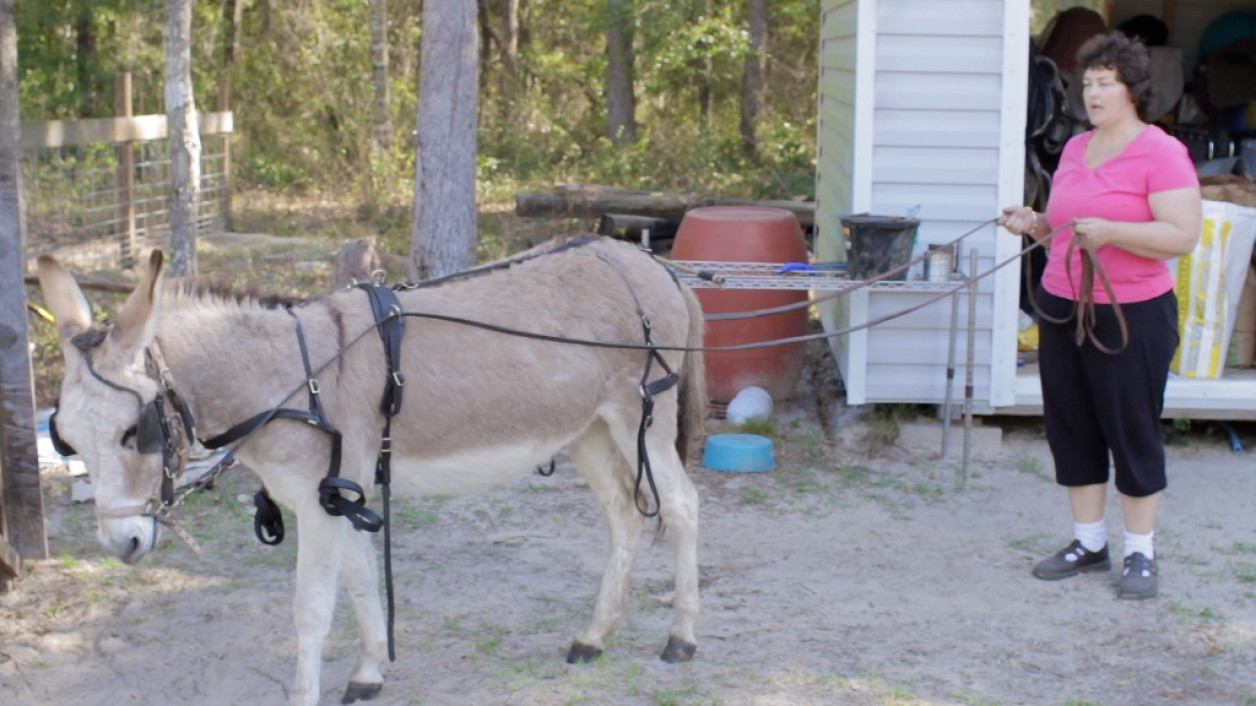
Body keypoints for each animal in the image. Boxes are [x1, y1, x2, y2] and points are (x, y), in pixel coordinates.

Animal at [37, 235, 707, 705]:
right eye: (66, 439)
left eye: (134, 432)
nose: (121, 544)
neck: (289, 378)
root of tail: (653, 264)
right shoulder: (343, 493)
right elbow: (359, 581)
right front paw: (368, 673)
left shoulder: (319, 501)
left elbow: (310, 608)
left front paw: (310, 693)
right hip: (588, 428)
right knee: (623, 516)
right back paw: (595, 636)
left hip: (641, 415)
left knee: (681, 506)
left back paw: (681, 638)